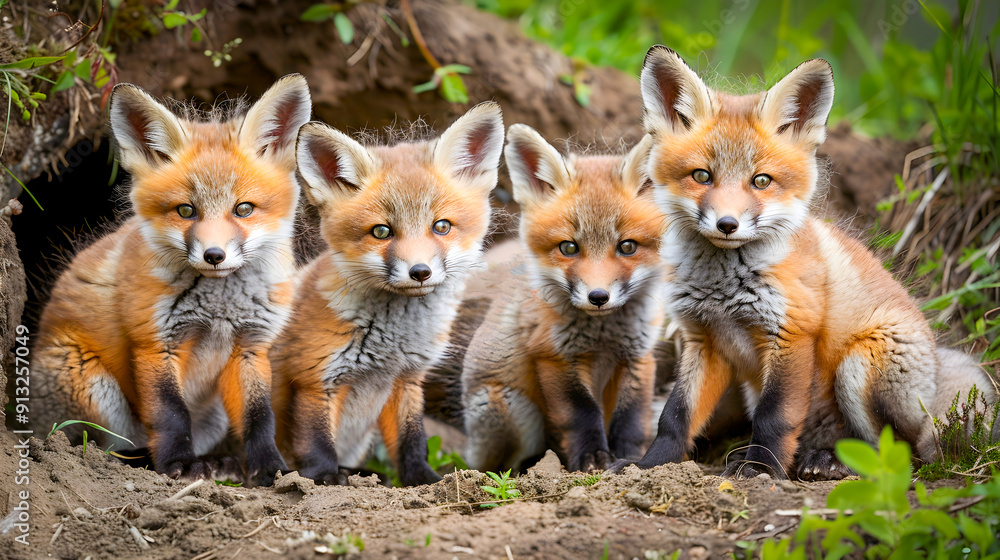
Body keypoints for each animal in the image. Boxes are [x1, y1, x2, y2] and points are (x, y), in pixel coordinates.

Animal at [30, 75, 312, 485]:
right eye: (185, 211)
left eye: (243, 209)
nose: (214, 256)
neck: (219, 311)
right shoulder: (155, 343)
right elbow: (170, 413)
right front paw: (179, 463)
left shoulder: (251, 347)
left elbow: (259, 418)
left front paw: (271, 469)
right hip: (93, 384)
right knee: (105, 448)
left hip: (212, 413)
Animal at [268, 103, 504, 486]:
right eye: (381, 232)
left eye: (441, 226)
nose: (420, 272)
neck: (389, 344)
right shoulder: (314, 379)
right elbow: (316, 441)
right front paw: (324, 480)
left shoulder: (406, 379)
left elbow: (411, 441)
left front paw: (425, 480)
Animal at [460, 125, 667, 474]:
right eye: (568, 248)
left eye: (627, 247)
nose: (598, 297)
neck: (603, 337)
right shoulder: (554, 356)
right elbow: (581, 414)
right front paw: (592, 459)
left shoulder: (638, 355)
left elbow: (632, 419)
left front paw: (630, 461)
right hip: (511, 409)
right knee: (504, 464)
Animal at [627, 45, 996, 480]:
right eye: (701, 176)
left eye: (761, 181)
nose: (727, 224)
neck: (723, 291)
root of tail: (938, 366)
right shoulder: (704, 339)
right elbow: (675, 414)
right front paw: (649, 466)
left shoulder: (791, 334)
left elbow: (775, 416)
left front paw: (762, 470)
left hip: (860, 367)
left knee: (899, 453)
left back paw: (831, 463)